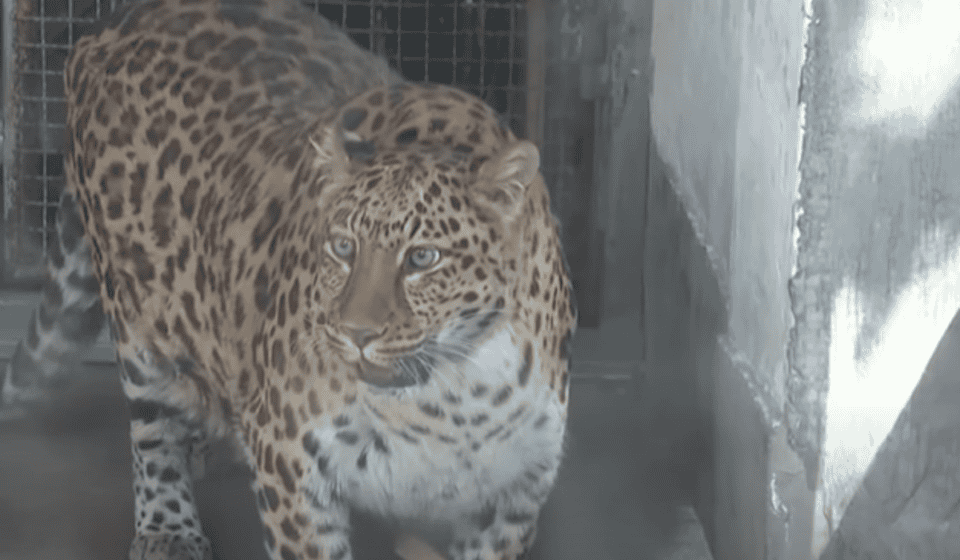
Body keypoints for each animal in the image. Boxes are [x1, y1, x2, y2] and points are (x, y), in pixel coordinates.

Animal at [0, 0, 578, 559]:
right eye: (343, 247)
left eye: (422, 258)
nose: (356, 335)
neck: (452, 402)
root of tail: (121, 14)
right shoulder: (293, 462)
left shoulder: (513, 494)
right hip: (137, 314)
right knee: (151, 422)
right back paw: (169, 527)